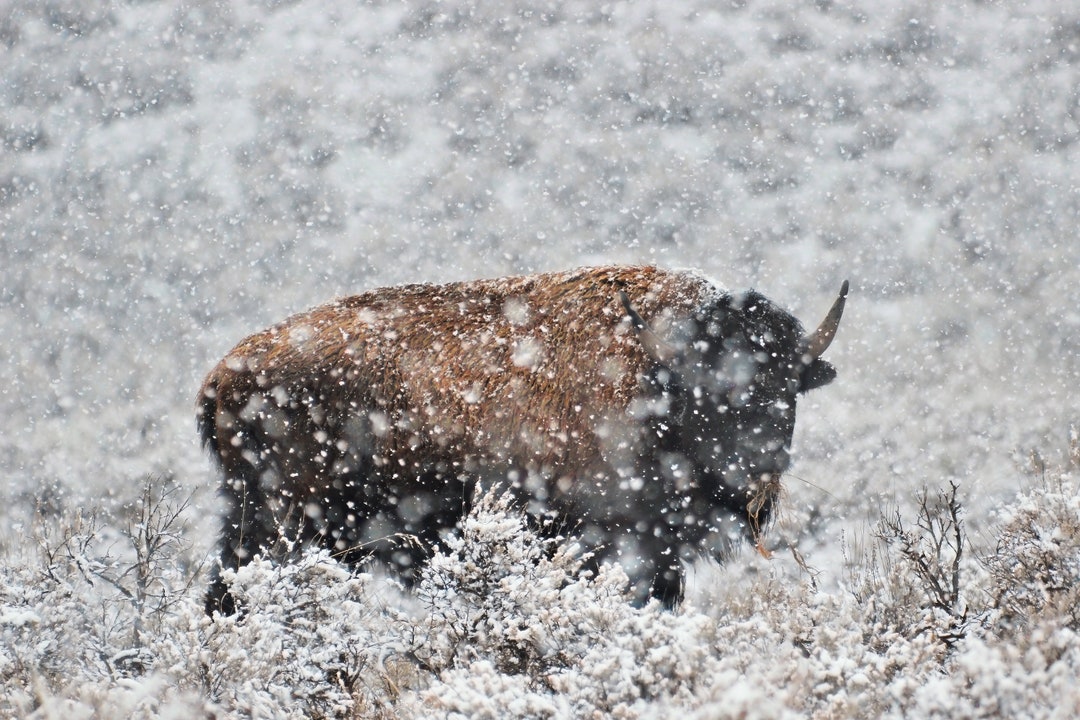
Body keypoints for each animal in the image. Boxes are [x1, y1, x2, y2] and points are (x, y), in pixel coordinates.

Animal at [199, 265, 846, 613]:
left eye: (786, 387)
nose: (755, 472)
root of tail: (226, 372)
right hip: (277, 524)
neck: (655, 379)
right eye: (706, 393)